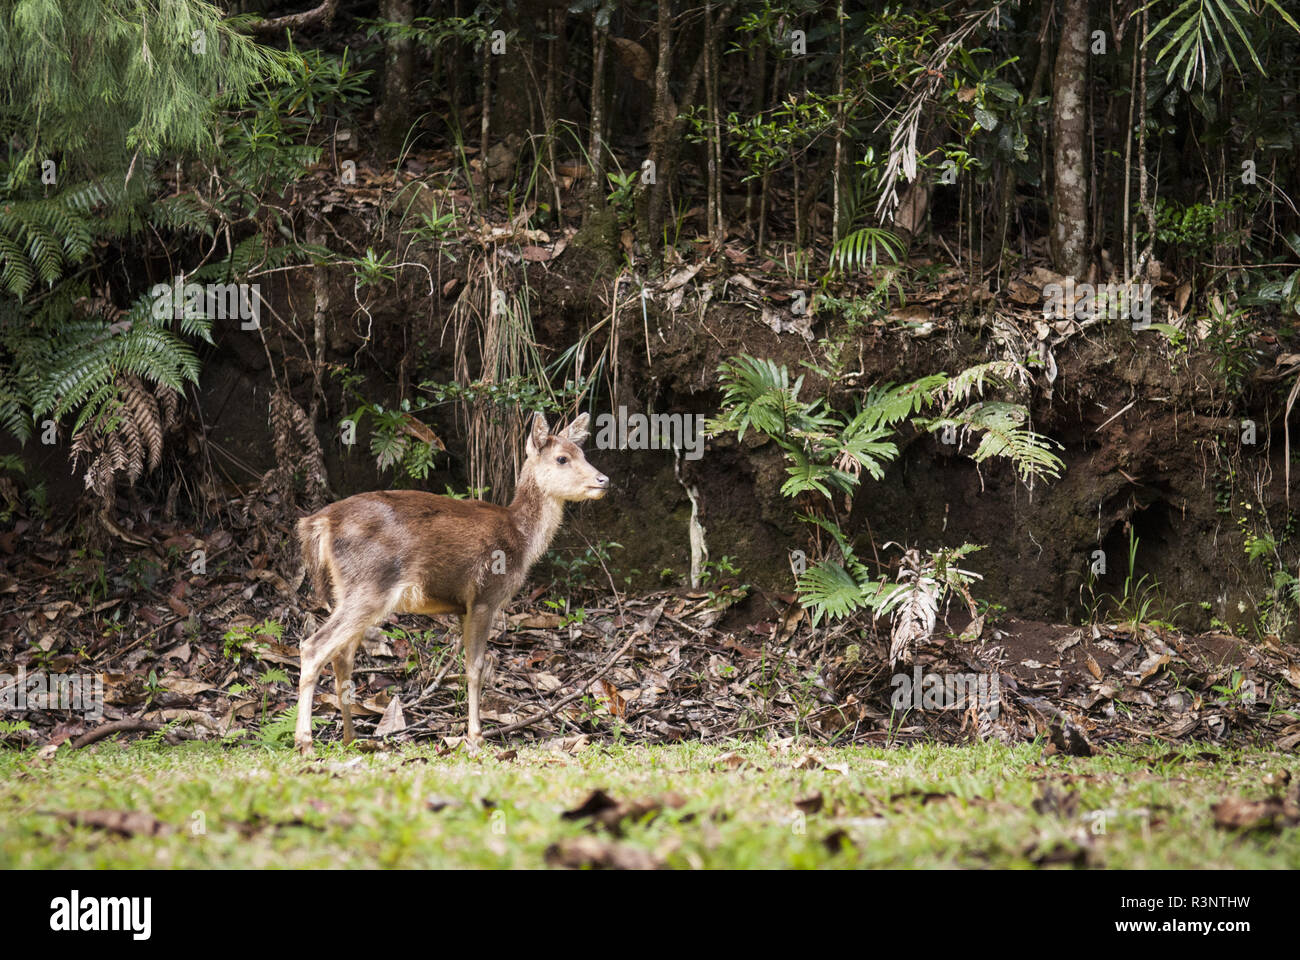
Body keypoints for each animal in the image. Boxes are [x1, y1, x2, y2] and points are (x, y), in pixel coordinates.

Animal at [293, 412, 608, 754]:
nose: (603, 480)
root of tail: (319, 522)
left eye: (583, 453)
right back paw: (306, 743)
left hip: (348, 590)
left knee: (341, 656)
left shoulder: (462, 607)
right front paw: (476, 736)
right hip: (370, 585)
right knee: (314, 646)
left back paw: (352, 739)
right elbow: (476, 667)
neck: (521, 539)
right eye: (562, 458)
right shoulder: (485, 596)